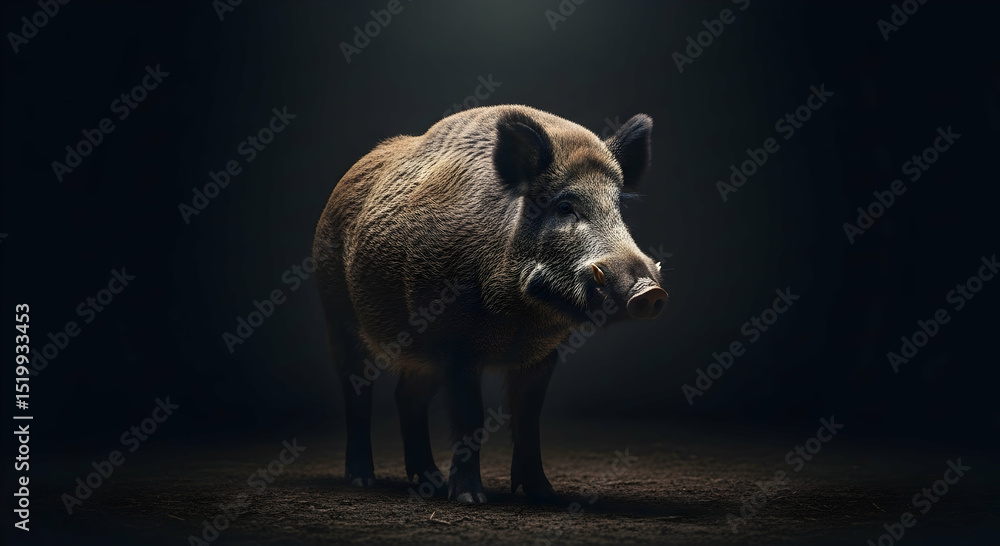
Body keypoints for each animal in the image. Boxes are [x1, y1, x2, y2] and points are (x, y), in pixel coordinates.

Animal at [312, 105, 667, 504]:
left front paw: (545, 496)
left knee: (407, 397)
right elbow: (471, 417)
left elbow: (528, 418)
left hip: (418, 352)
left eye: (618, 207)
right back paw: (362, 480)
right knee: (358, 391)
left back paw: (430, 483)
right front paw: (471, 499)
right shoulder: (455, 344)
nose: (649, 292)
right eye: (565, 207)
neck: (520, 318)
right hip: (335, 311)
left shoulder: (543, 353)